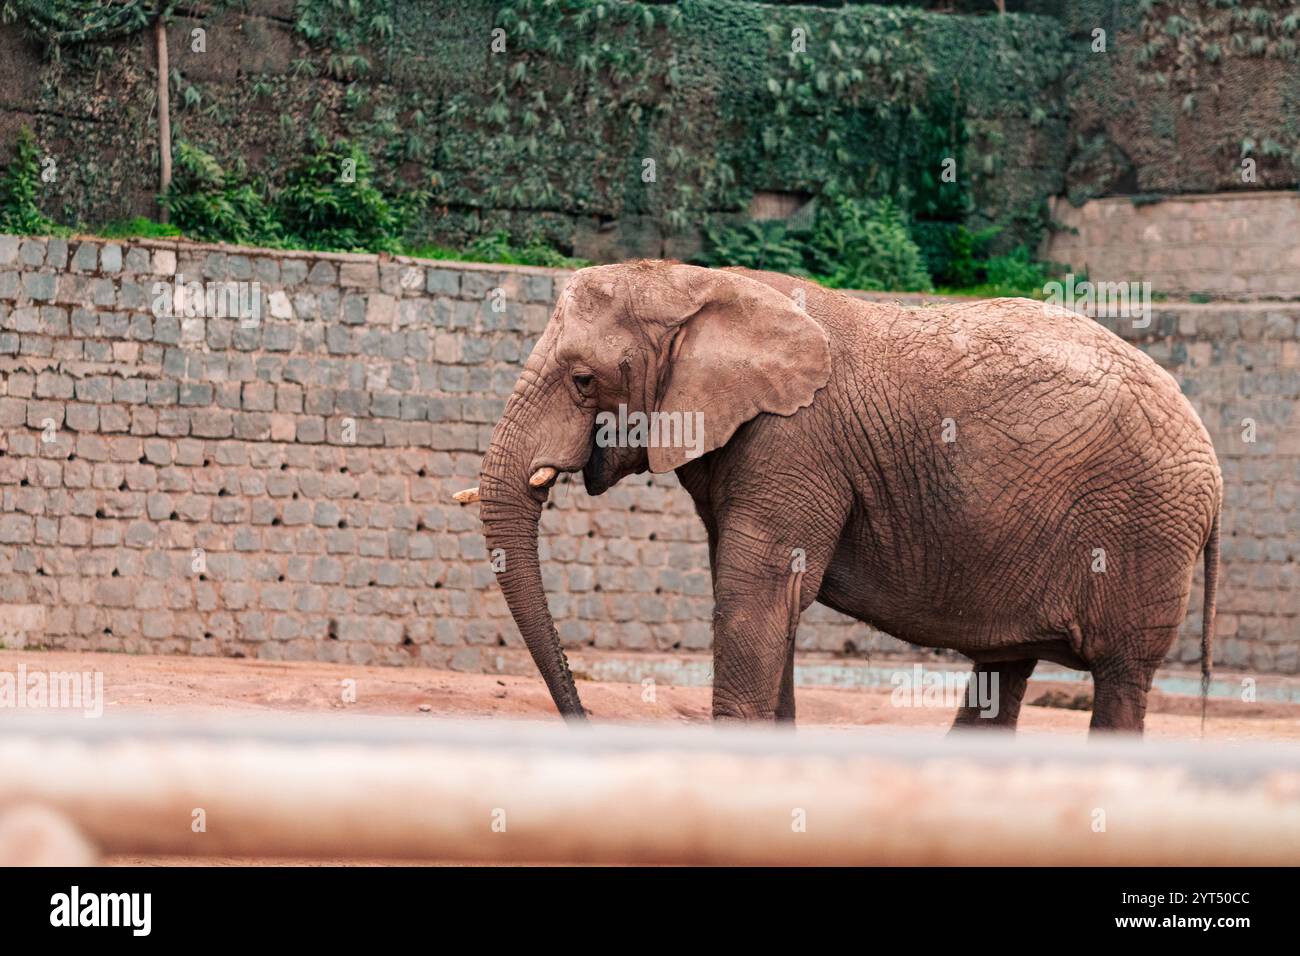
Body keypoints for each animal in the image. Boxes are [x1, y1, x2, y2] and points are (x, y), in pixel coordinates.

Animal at [454, 261, 1222, 733]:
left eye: (583, 379)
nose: (583, 718)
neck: (701, 283)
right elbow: (766, 599)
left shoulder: (794, 443)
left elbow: (753, 597)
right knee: (1004, 668)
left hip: (1143, 531)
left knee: (1120, 678)